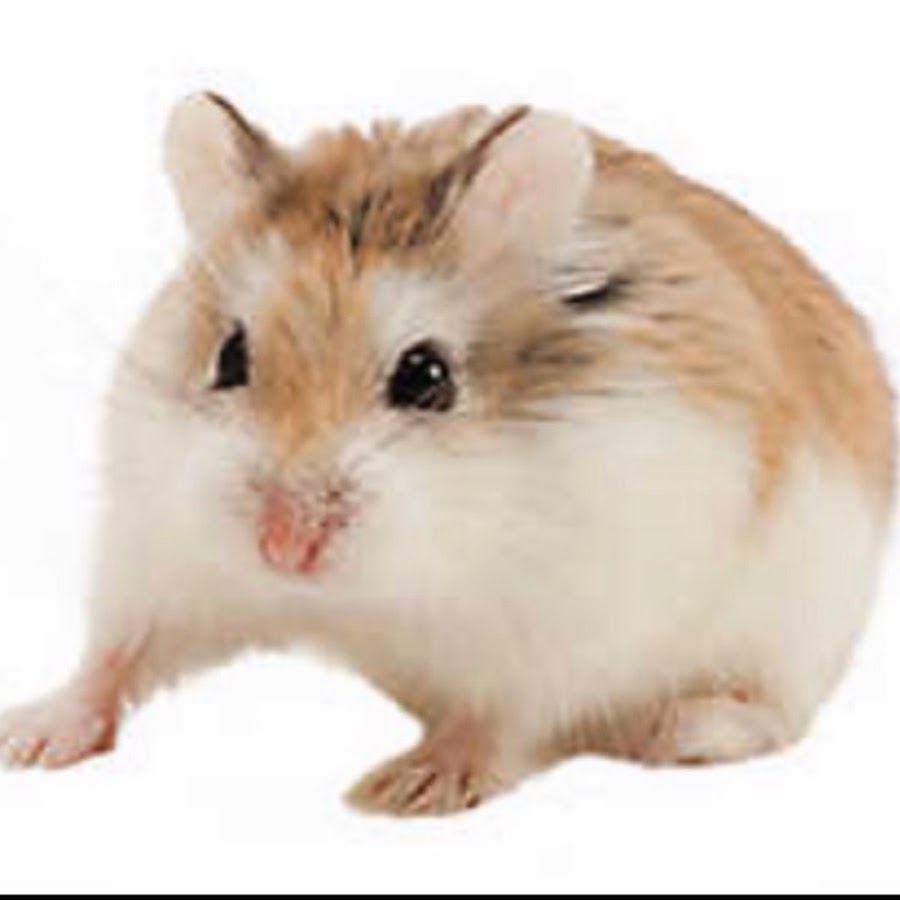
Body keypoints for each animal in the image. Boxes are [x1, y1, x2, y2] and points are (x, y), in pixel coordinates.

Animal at [0, 95, 894, 817]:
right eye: (229, 356)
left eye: (427, 377)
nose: (282, 549)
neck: (369, 594)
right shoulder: (164, 555)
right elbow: (116, 653)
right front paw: (26, 742)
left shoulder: (572, 625)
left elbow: (502, 718)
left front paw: (402, 792)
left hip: (797, 636)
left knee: (772, 714)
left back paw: (679, 728)